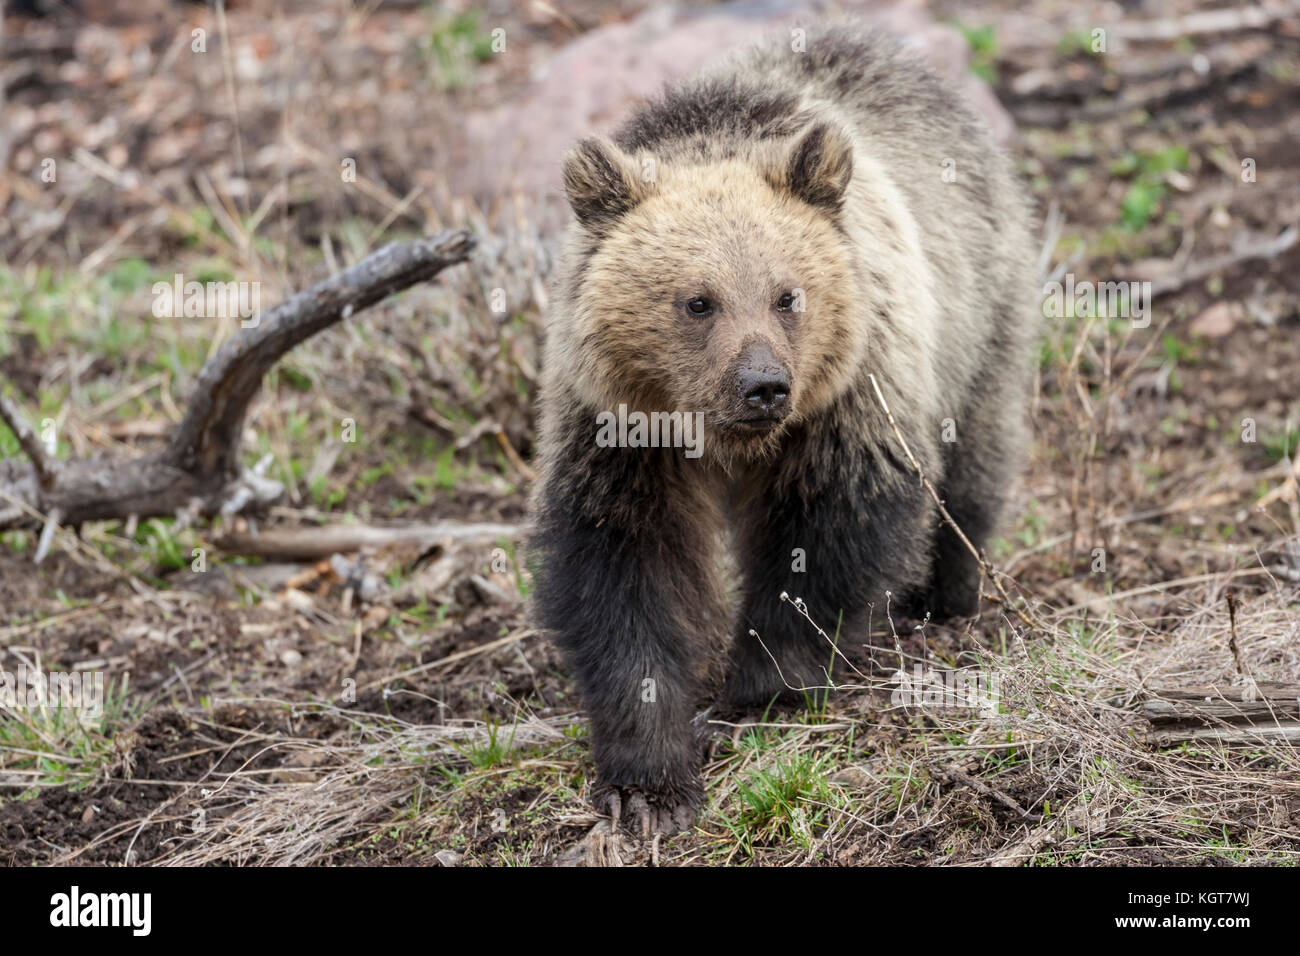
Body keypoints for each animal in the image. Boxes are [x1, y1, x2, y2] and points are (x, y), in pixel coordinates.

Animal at [528, 28, 1037, 836]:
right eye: (697, 301)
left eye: (786, 295)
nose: (764, 385)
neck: (718, 434)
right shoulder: (618, 428)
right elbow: (623, 567)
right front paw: (646, 780)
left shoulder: (850, 396)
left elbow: (829, 529)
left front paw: (764, 689)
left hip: (981, 307)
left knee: (974, 456)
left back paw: (944, 591)